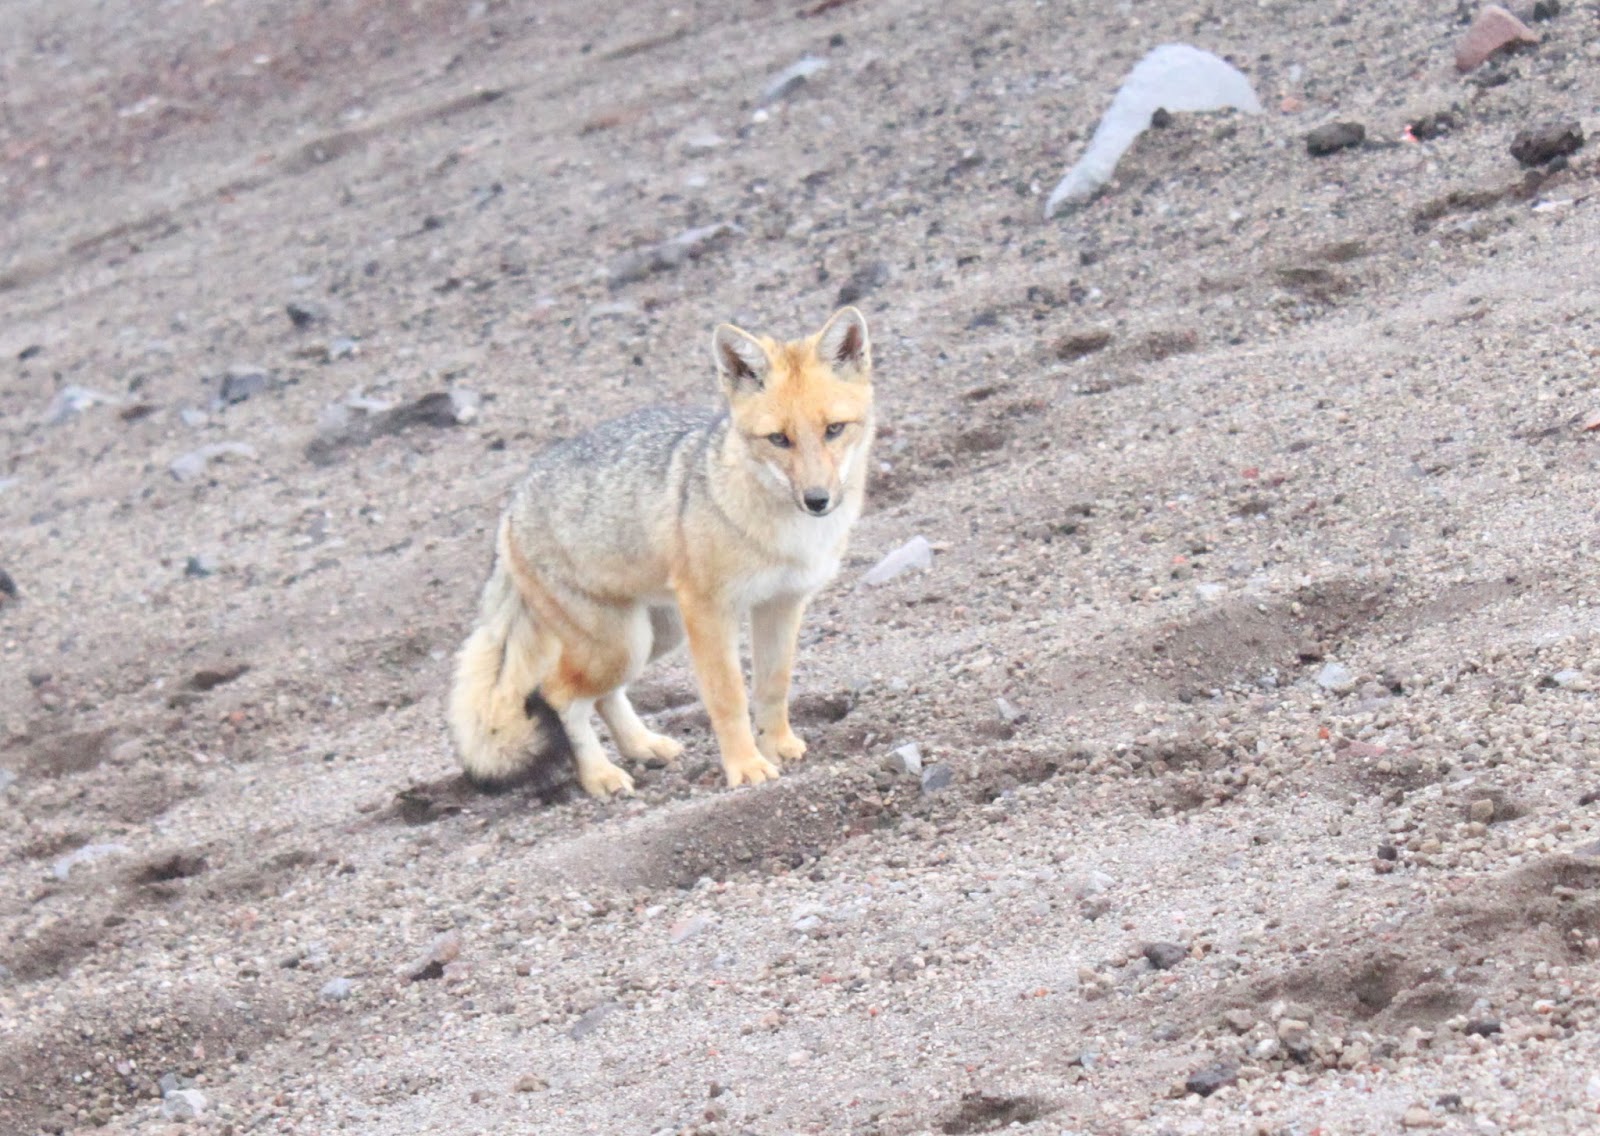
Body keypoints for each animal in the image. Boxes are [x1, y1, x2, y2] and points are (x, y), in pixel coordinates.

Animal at [448, 307, 874, 797]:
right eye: (779, 439)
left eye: (833, 430)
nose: (817, 500)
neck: (788, 533)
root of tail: (511, 507)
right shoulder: (709, 612)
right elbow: (728, 697)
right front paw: (746, 766)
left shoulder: (782, 603)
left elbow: (774, 684)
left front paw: (779, 744)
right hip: (621, 644)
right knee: (558, 692)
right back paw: (599, 775)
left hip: (653, 637)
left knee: (604, 695)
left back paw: (642, 746)